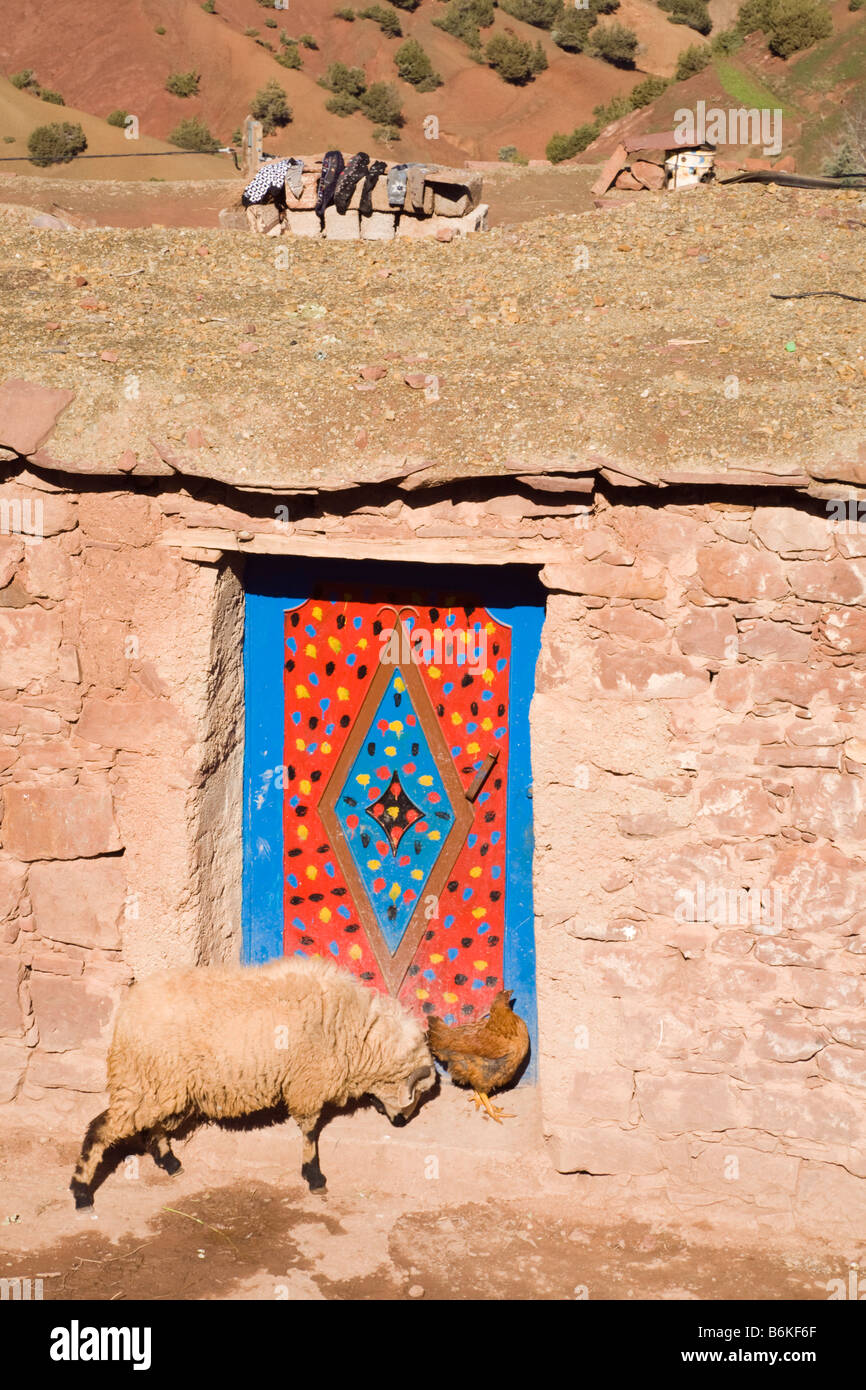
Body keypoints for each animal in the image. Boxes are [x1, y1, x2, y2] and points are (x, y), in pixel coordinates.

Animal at [70, 954, 435, 1210]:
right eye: (416, 1093)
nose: (401, 1123)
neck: (355, 1030)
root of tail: (127, 1013)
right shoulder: (307, 1082)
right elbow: (310, 1133)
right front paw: (314, 1176)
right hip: (146, 1078)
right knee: (102, 1128)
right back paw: (81, 1192)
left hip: (162, 1083)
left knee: (151, 1124)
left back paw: (170, 1163)